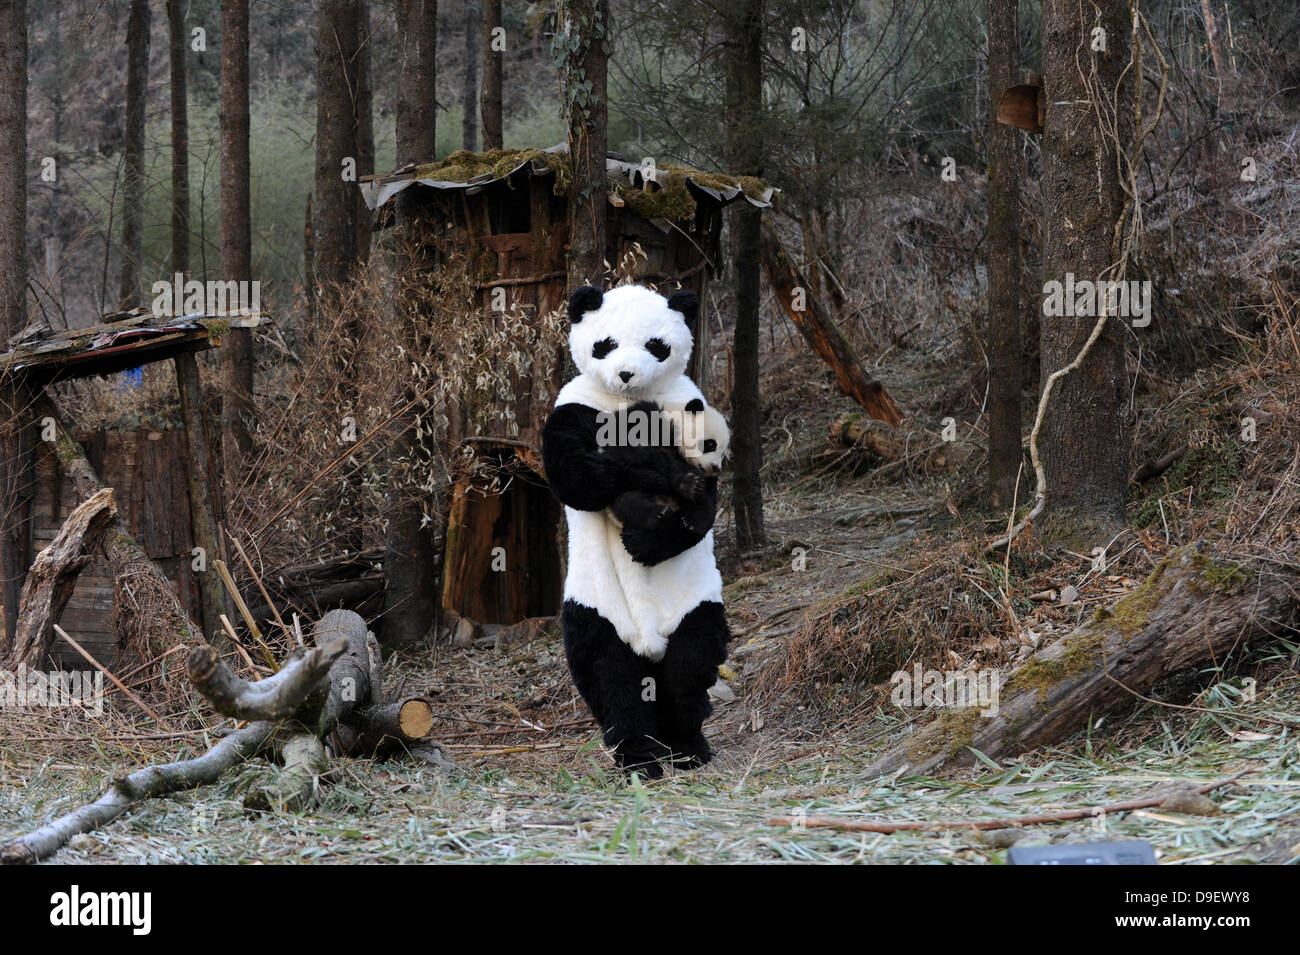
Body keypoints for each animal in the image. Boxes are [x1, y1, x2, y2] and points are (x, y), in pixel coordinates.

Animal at [541, 284, 731, 778]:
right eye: (604, 344)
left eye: (656, 345)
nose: (627, 374)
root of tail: (650, 640)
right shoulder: (574, 408)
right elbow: (577, 476)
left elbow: (704, 512)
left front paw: (685, 507)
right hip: (596, 607)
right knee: (607, 673)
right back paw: (639, 757)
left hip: (697, 601)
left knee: (691, 663)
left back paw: (687, 746)